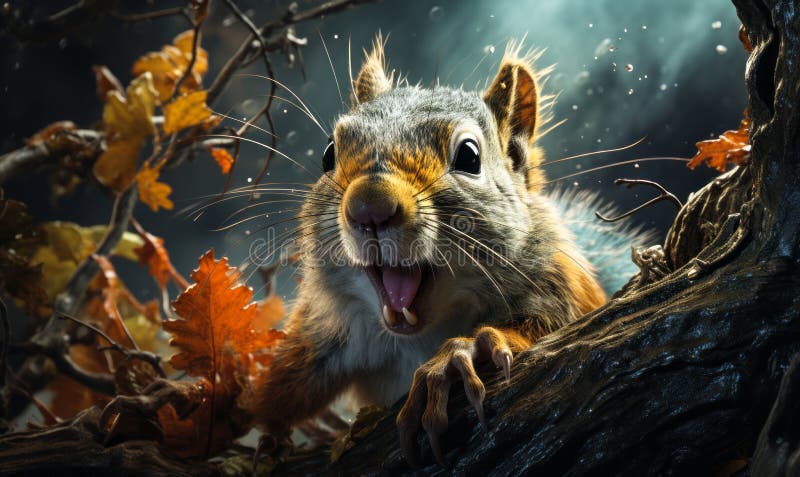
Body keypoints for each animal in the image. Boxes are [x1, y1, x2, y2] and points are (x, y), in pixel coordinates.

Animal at [249, 38, 646, 465]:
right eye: (328, 154)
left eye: (470, 157)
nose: (369, 206)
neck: (422, 333)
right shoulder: (323, 332)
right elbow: (279, 390)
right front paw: (277, 435)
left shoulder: (562, 286)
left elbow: (560, 325)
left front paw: (462, 357)